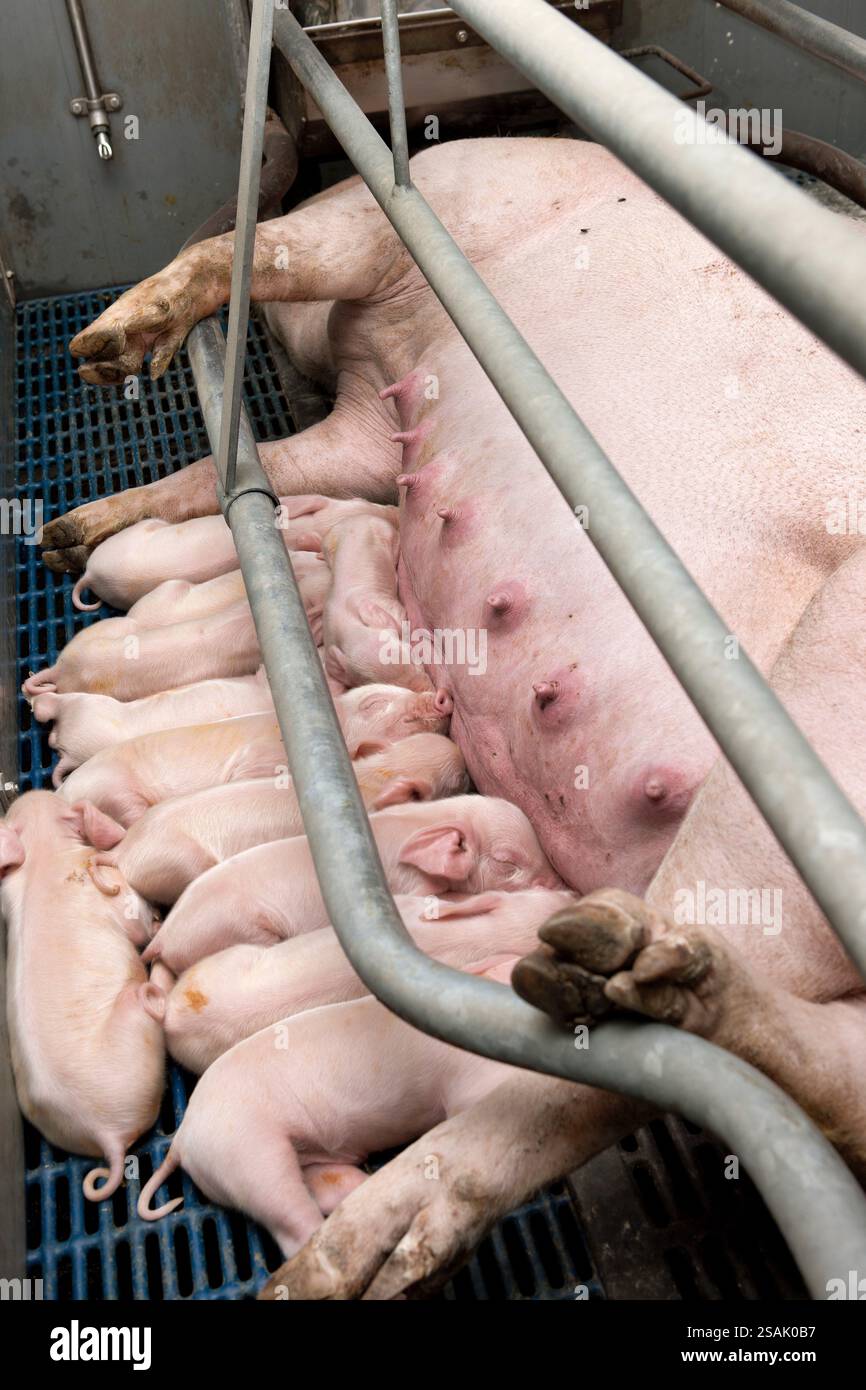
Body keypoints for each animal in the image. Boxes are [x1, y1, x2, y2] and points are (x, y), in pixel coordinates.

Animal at [322, 513, 430, 692]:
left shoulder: (393, 608)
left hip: (390, 535)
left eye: (413, 658)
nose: (427, 689)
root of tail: (356, 518)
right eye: (385, 684)